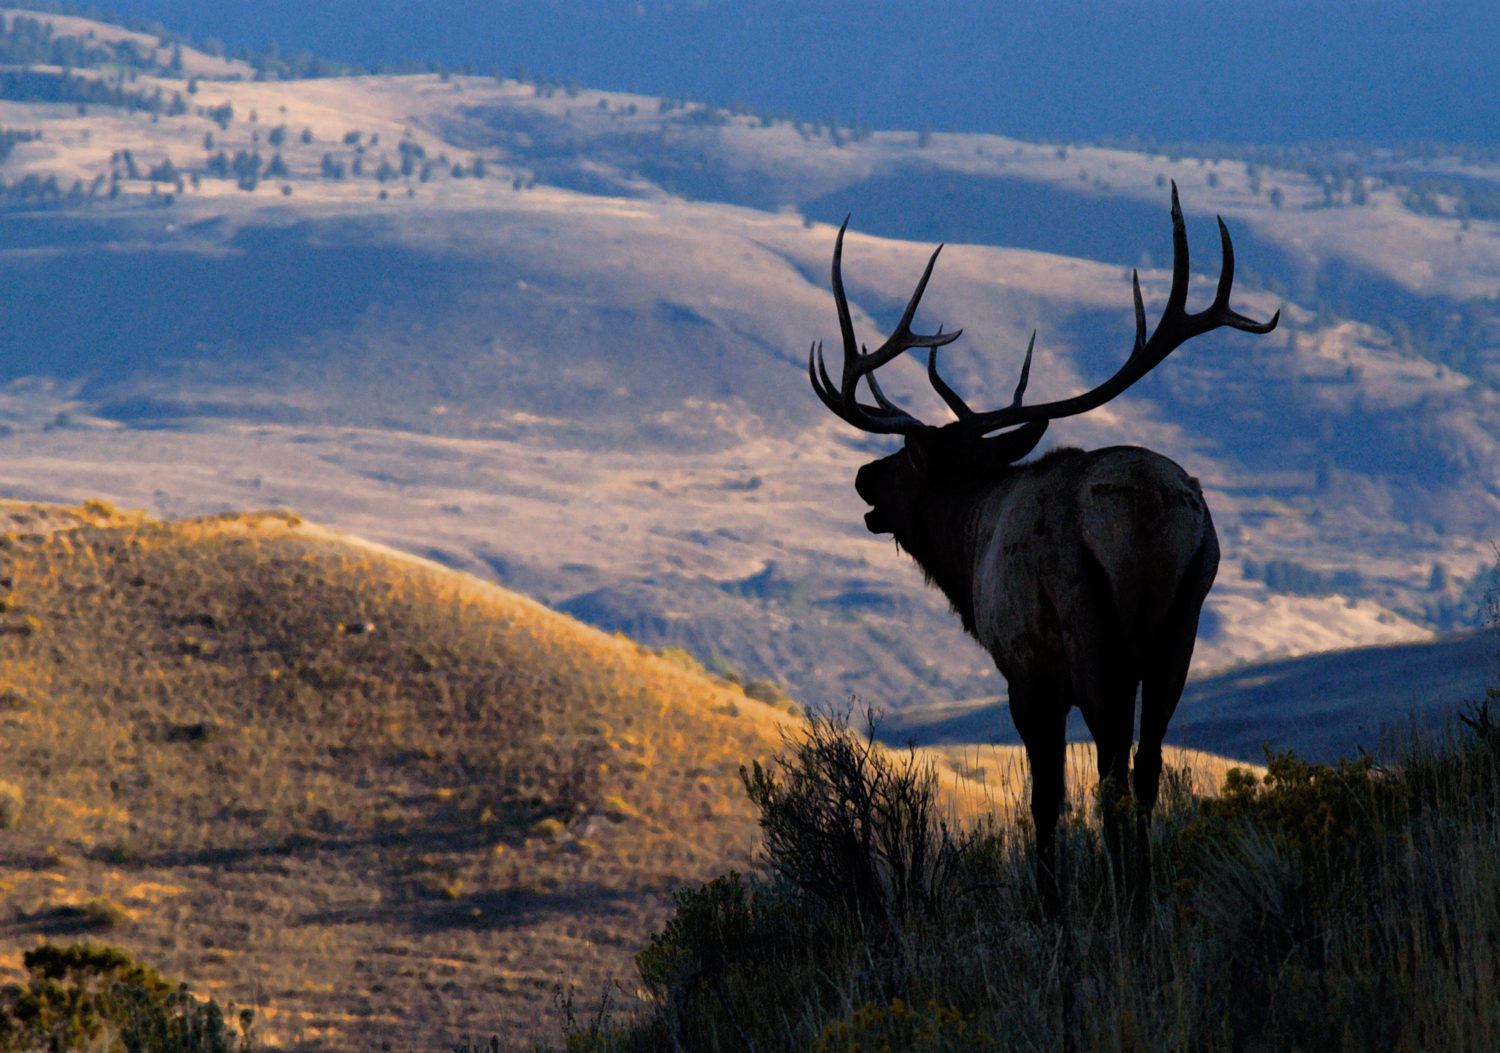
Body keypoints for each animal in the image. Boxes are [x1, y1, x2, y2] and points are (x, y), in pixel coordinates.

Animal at [809, 184, 1278, 911]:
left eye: (910, 458)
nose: (863, 475)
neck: (967, 546)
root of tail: (1150, 502)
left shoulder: (1025, 670)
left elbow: (1047, 799)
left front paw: (1051, 907)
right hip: (1182, 622)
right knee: (1147, 767)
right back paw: (1145, 901)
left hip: (1091, 629)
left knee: (1112, 777)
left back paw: (1124, 910)